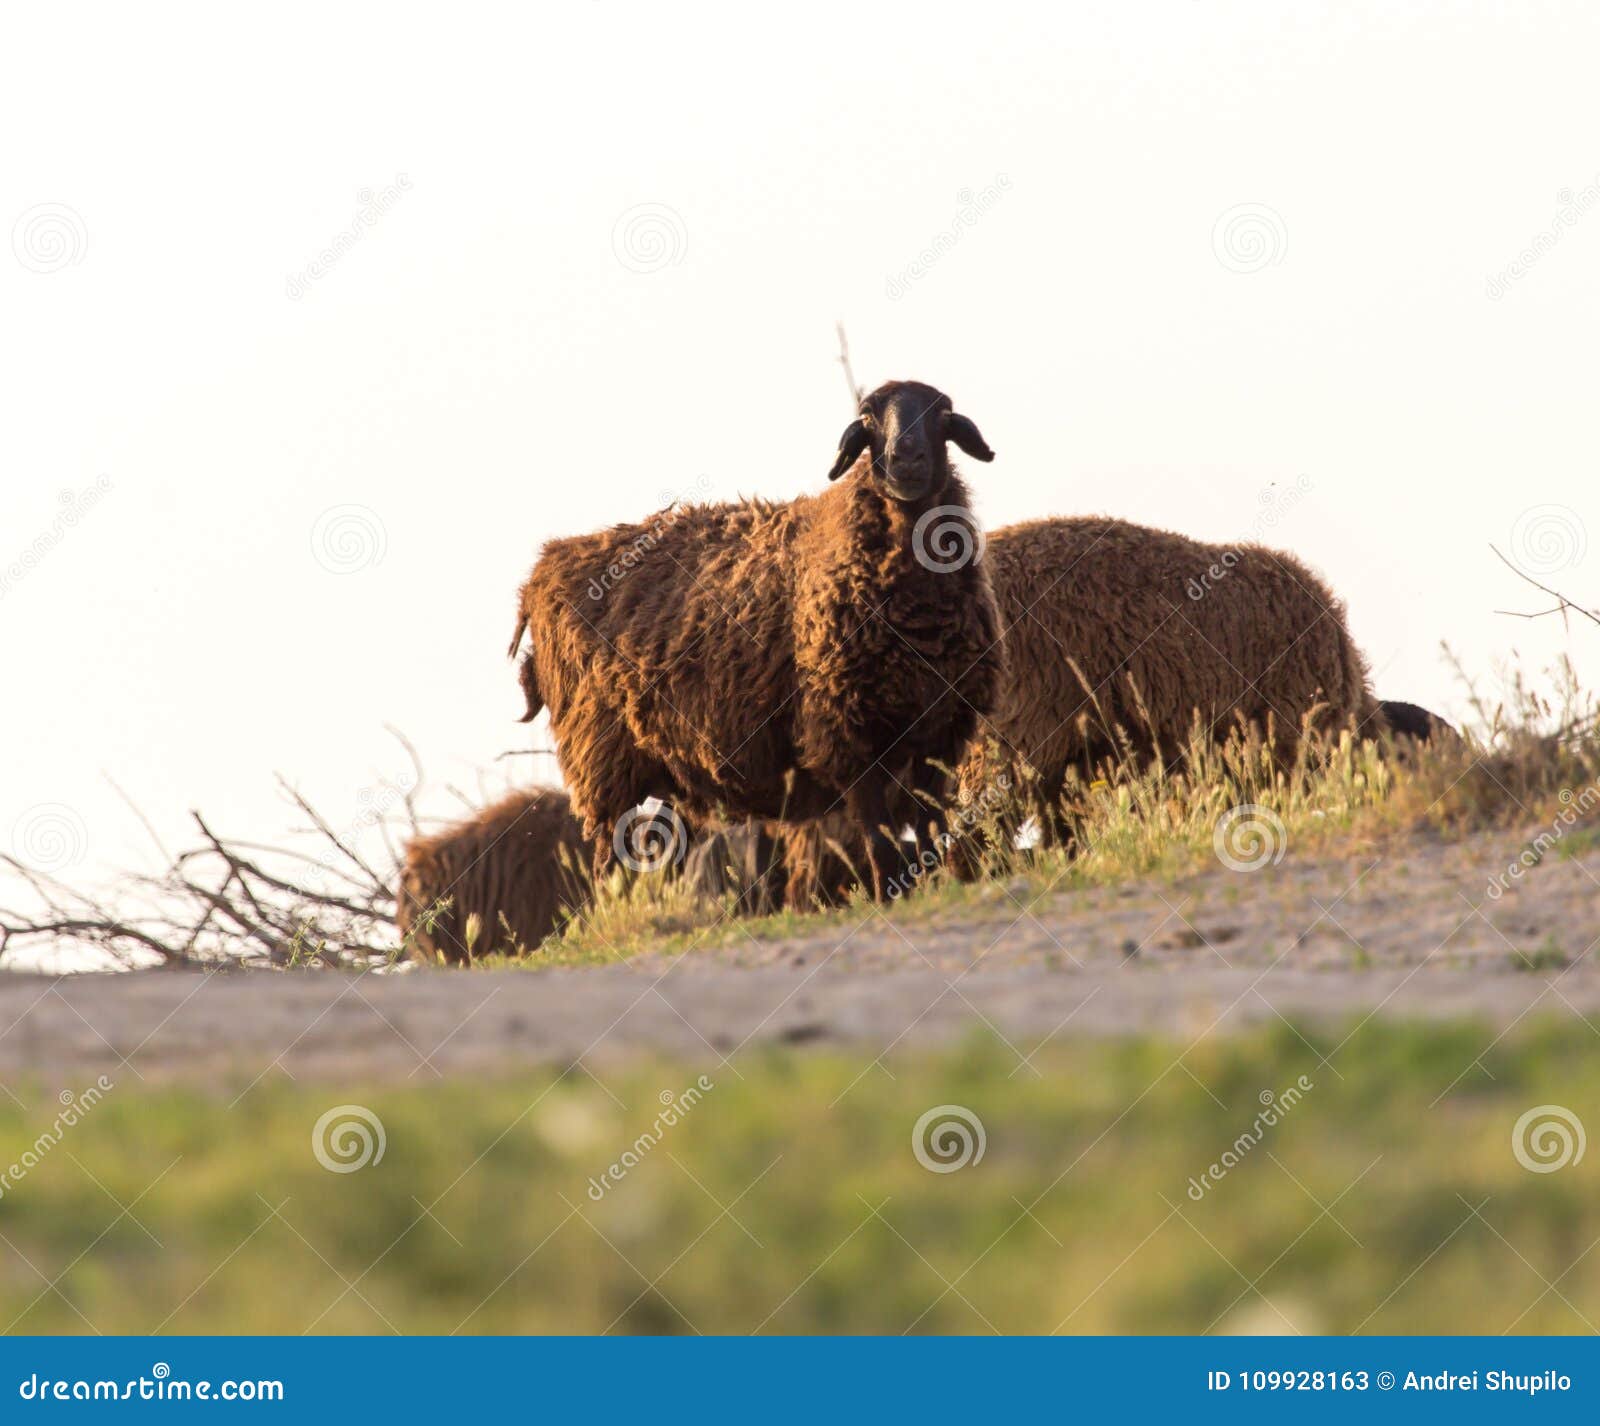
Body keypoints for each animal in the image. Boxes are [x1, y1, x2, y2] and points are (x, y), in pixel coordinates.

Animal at [508, 379, 1004, 899]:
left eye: (942, 414)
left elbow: (930, 830)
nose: (905, 458)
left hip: (676, 772)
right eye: (868, 417)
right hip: (602, 759)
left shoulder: (940, 731)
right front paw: (893, 896)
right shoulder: (846, 736)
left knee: (663, 850)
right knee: (608, 864)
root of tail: (546, 566)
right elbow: (879, 841)